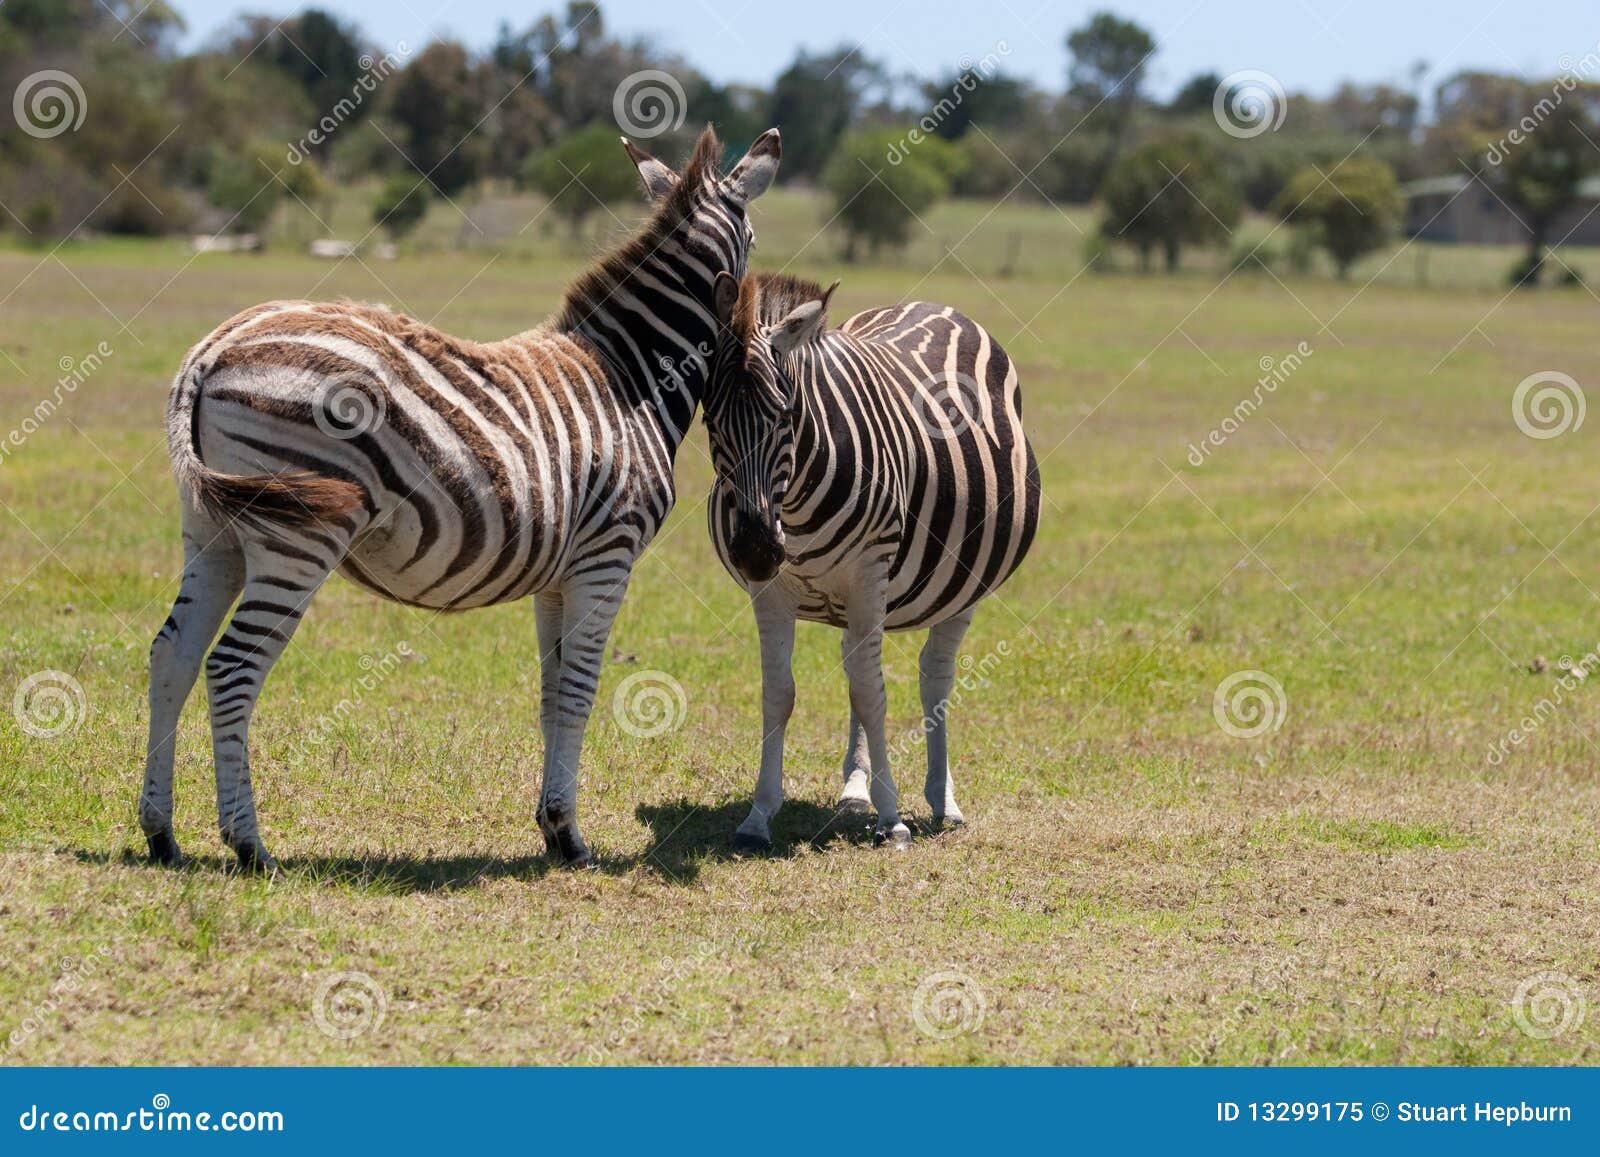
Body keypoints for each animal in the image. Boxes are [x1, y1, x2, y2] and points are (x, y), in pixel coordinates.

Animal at [139, 127, 780, 873]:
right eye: (754, 237)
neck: (634, 378)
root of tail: (213, 349)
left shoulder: (558, 575)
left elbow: (551, 693)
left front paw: (550, 826)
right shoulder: (608, 556)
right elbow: (581, 690)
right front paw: (570, 835)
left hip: (213, 531)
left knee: (174, 656)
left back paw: (160, 832)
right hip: (295, 537)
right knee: (232, 667)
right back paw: (249, 844)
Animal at [703, 271, 1040, 851]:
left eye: (786, 416)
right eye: (708, 419)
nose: (755, 549)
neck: (795, 507)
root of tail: (933, 304)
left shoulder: (867, 572)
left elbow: (872, 693)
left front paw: (892, 817)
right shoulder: (774, 590)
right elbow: (780, 694)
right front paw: (759, 815)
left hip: (962, 586)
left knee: (933, 676)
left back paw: (942, 802)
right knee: (856, 667)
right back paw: (856, 789)